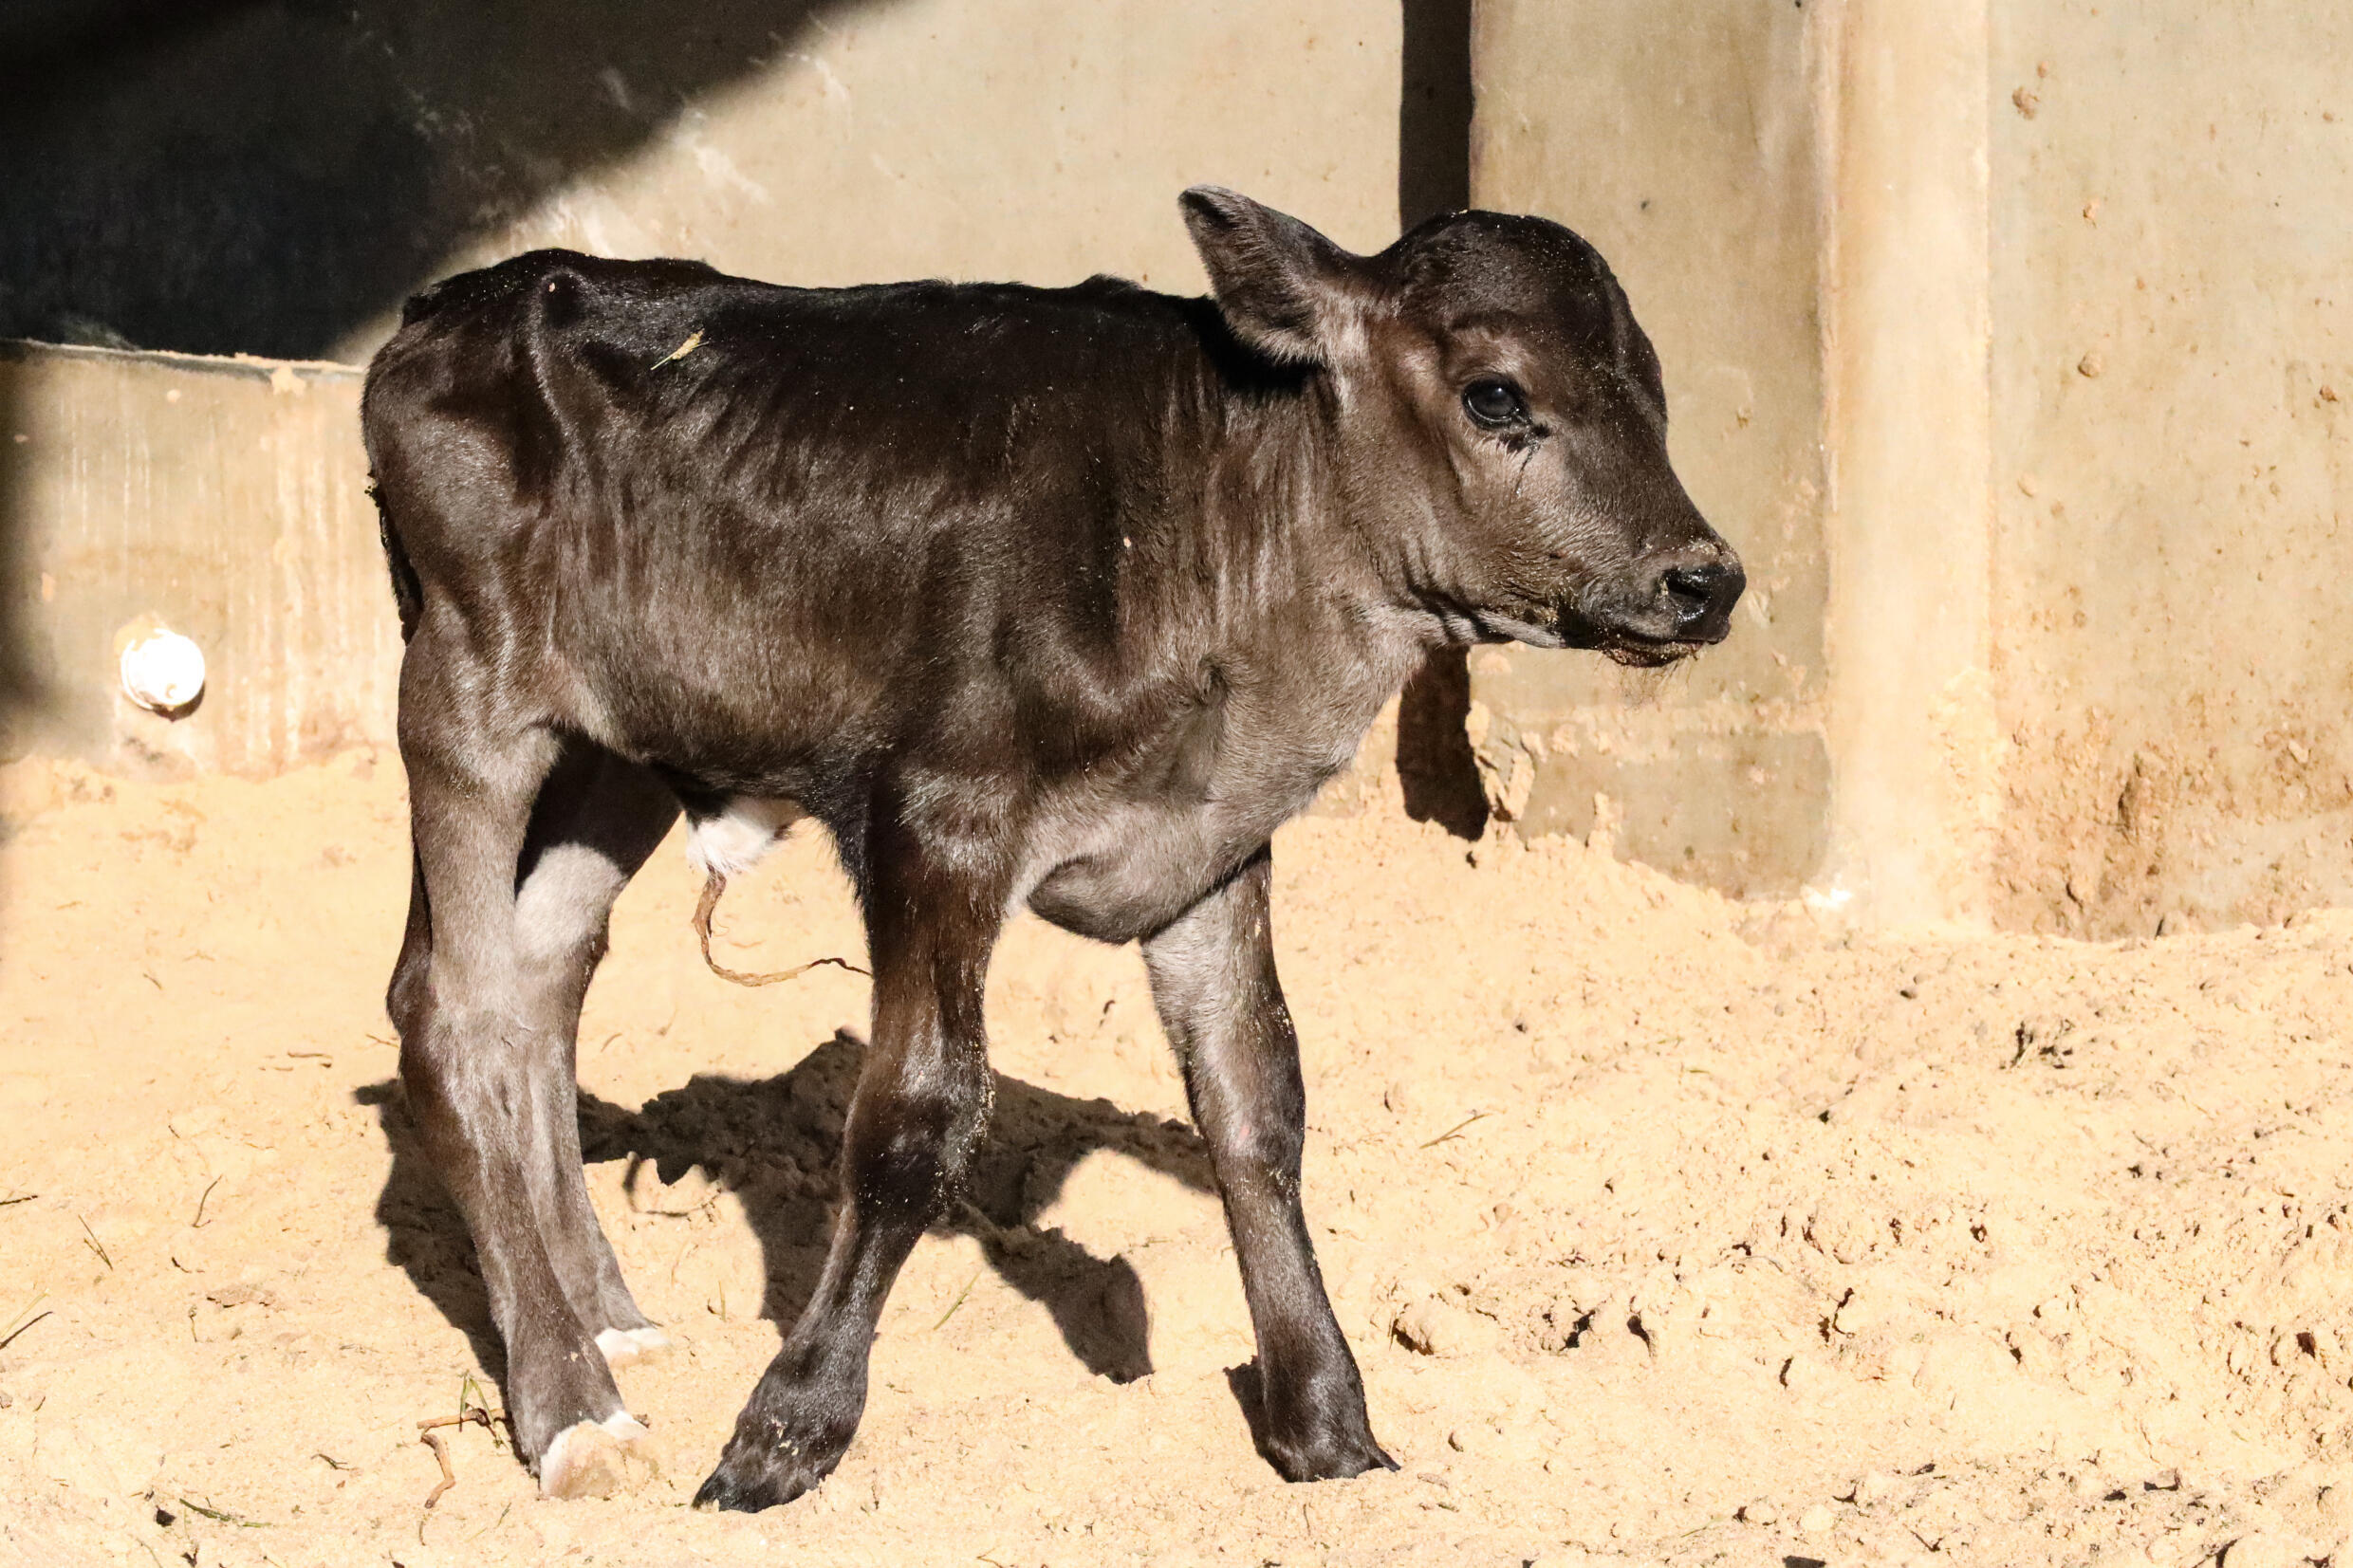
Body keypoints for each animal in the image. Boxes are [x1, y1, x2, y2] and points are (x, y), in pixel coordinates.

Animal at [361, 186, 1742, 1511]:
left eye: (1656, 391)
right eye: (1496, 393)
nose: (1706, 580)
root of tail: (453, 304)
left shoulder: (1208, 842)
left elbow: (1256, 1103)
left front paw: (1329, 1426)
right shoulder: (935, 819)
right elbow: (914, 1121)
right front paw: (786, 1433)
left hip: (617, 750)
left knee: (539, 983)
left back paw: (608, 1322)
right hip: (467, 691)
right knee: (450, 1013)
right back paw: (572, 1411)